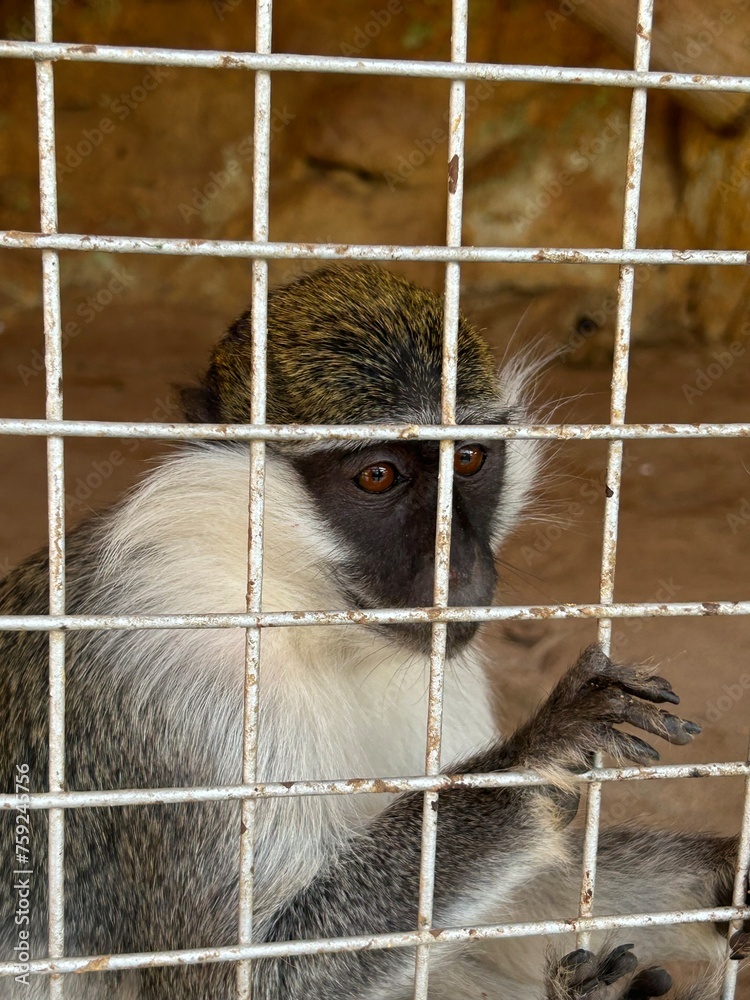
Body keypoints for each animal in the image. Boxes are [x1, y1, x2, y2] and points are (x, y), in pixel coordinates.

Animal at [0, 264, 747, 999]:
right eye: (379, 475)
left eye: (469, 460)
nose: (457, 563)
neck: (312, 614)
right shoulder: (176, 670)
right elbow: (248, 974)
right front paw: (541, 750)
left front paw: (723, 872)